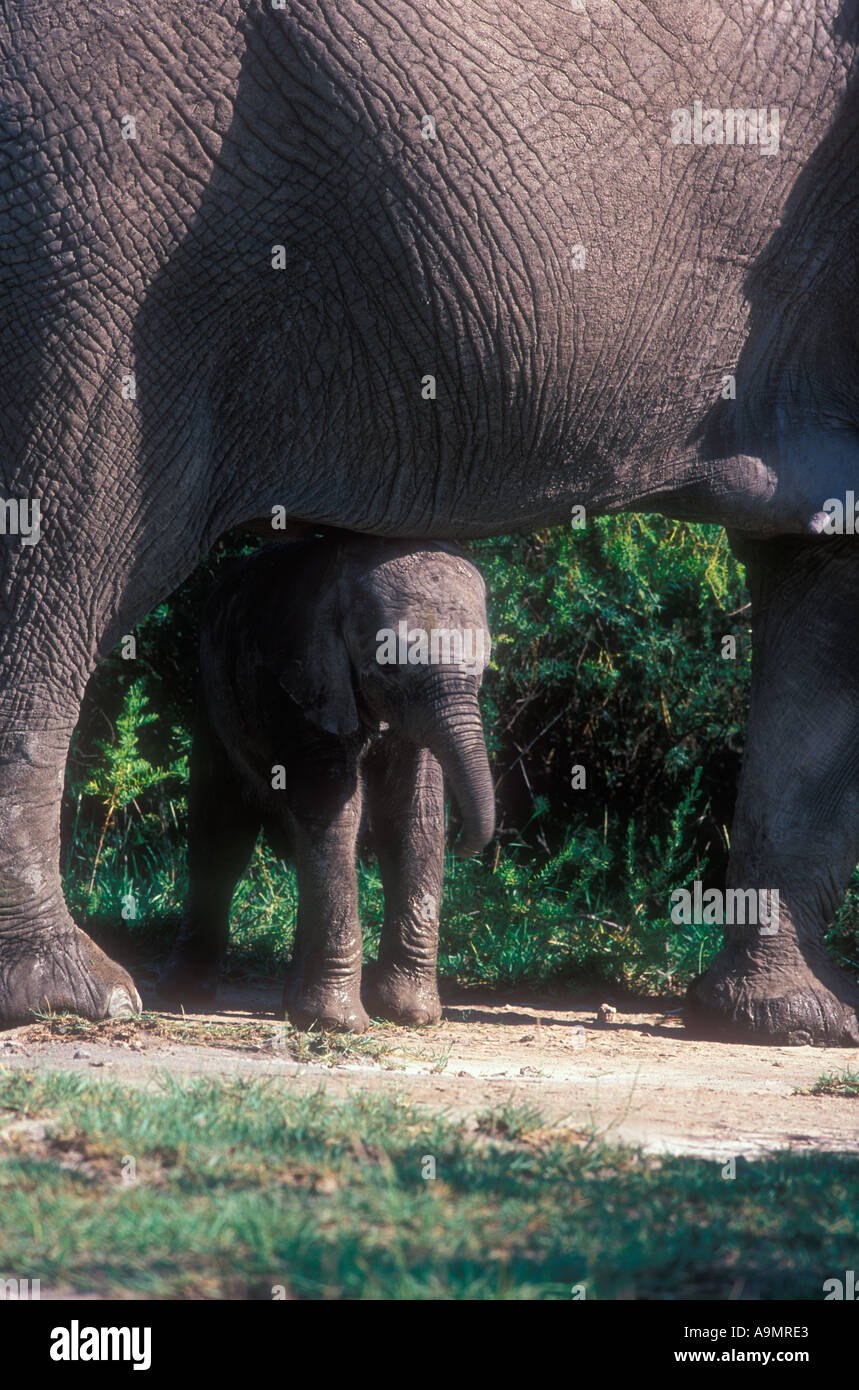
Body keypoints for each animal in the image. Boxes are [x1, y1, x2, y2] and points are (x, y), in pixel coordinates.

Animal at [157, 535, 494, 1031]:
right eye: (388, 669)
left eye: (483, 670)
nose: (467, 843)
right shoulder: (301, 685)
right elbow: (335, 810)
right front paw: (337, 1024)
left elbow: (413, 817)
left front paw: (410, 1015)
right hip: (213, 704)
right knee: (220, 838)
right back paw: (184, 993)